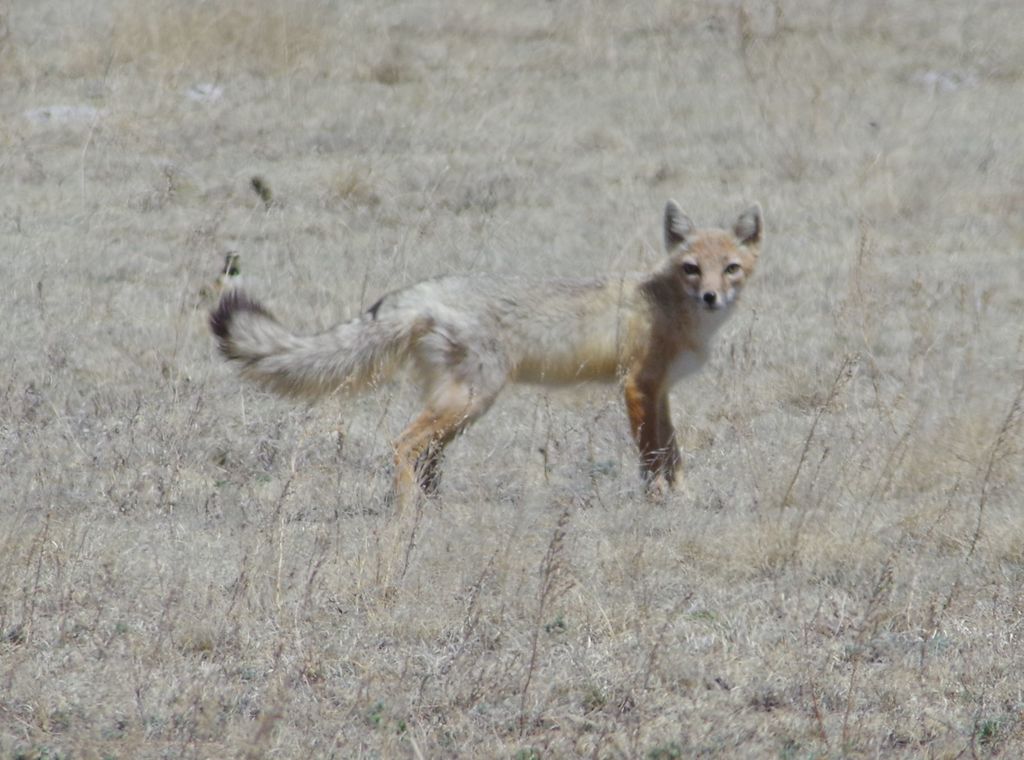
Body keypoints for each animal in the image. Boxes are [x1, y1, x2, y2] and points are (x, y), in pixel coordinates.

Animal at [210, 201, 763, 505]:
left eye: (730, 269)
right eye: (692, 268)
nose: (711, 297)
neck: (668, 303)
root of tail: (419, 291)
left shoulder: (660, 391)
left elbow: (673, 451)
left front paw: (684, 497)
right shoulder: (637, 387)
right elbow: (652, 455)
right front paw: (657, 502)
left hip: (458, 406)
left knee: (427, 457)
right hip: (472, 398)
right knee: (403, 446)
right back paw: (405, 515)